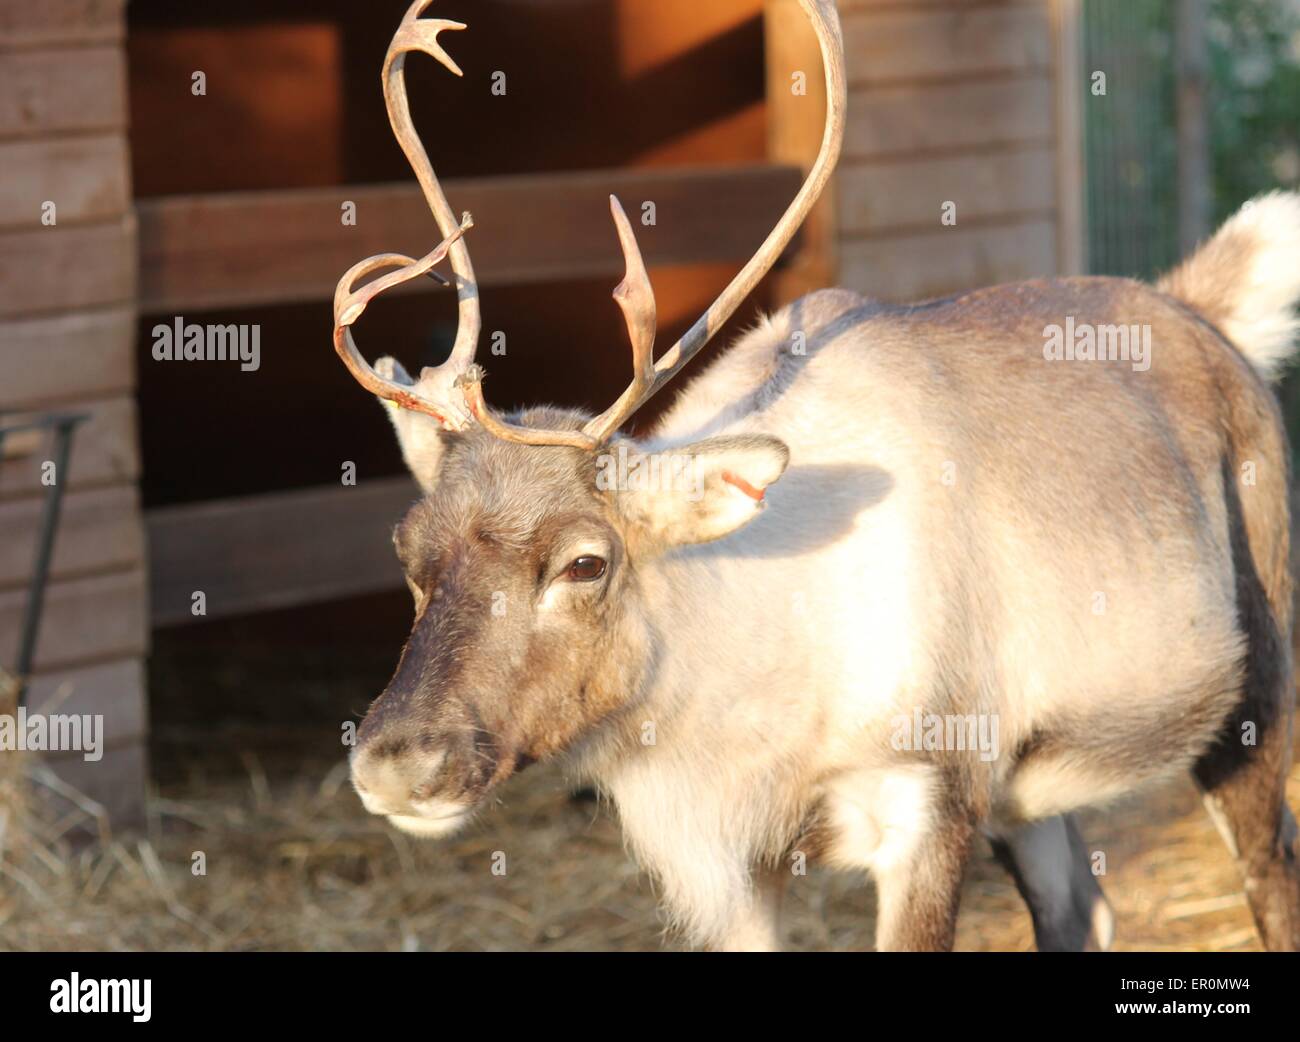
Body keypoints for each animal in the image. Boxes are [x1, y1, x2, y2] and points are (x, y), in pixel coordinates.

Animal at [339, 0, 1300, 951]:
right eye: (406, 553)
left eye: (585, 562)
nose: (396, 763)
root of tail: (1200, 309)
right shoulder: (734, 865)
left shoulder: (928, 804)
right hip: (1028, 792)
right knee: (1084, 909)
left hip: (1253, 691)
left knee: (1271, 879)